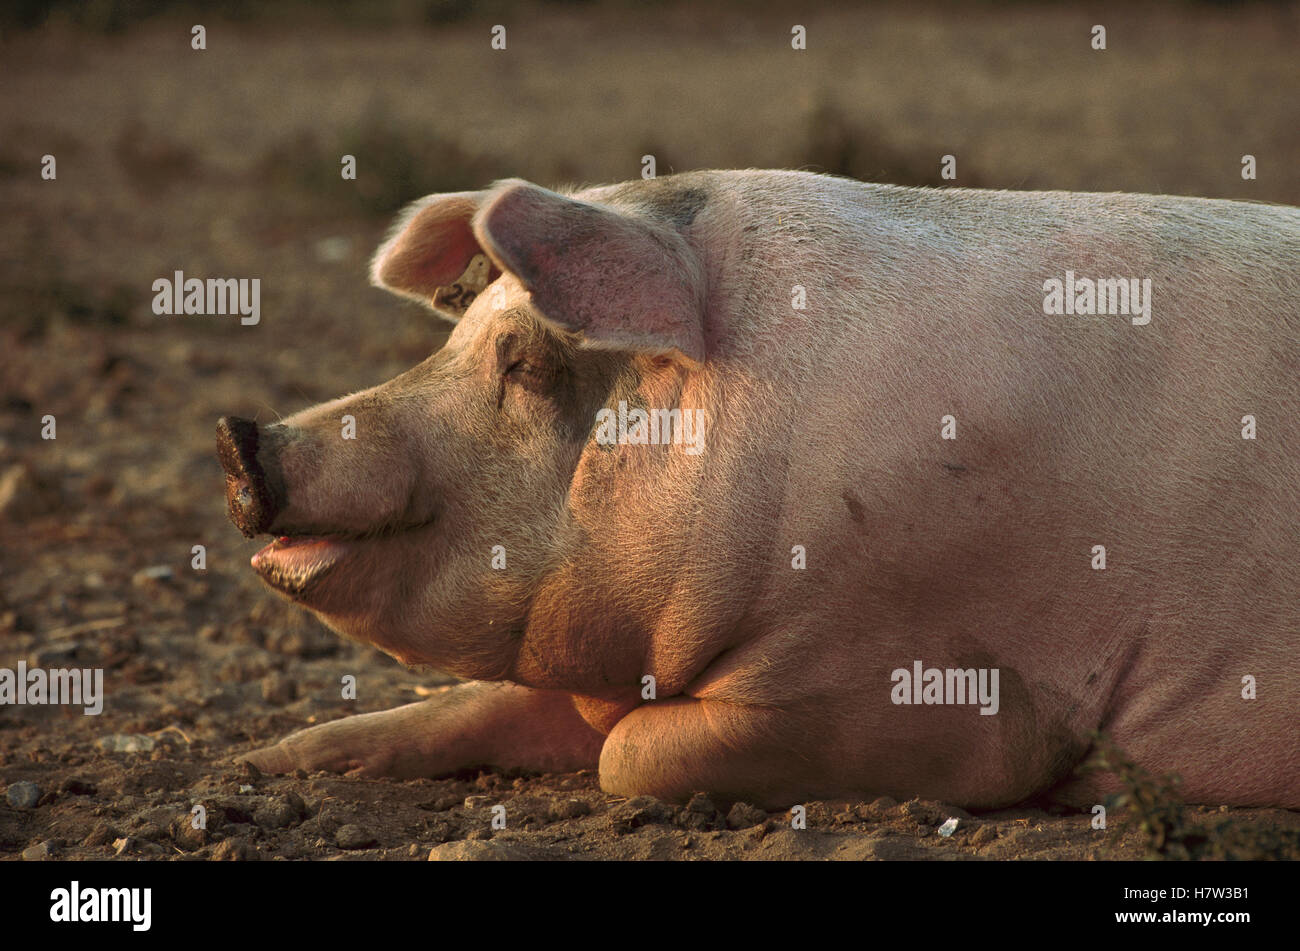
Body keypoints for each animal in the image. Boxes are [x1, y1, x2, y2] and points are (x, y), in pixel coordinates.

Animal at [217, 170, 1300, 809]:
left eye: (521, 360)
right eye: (456, 337)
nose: (241, 440)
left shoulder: (919, 672)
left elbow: (624, 759)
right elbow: (476, 708)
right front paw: (252, 765)